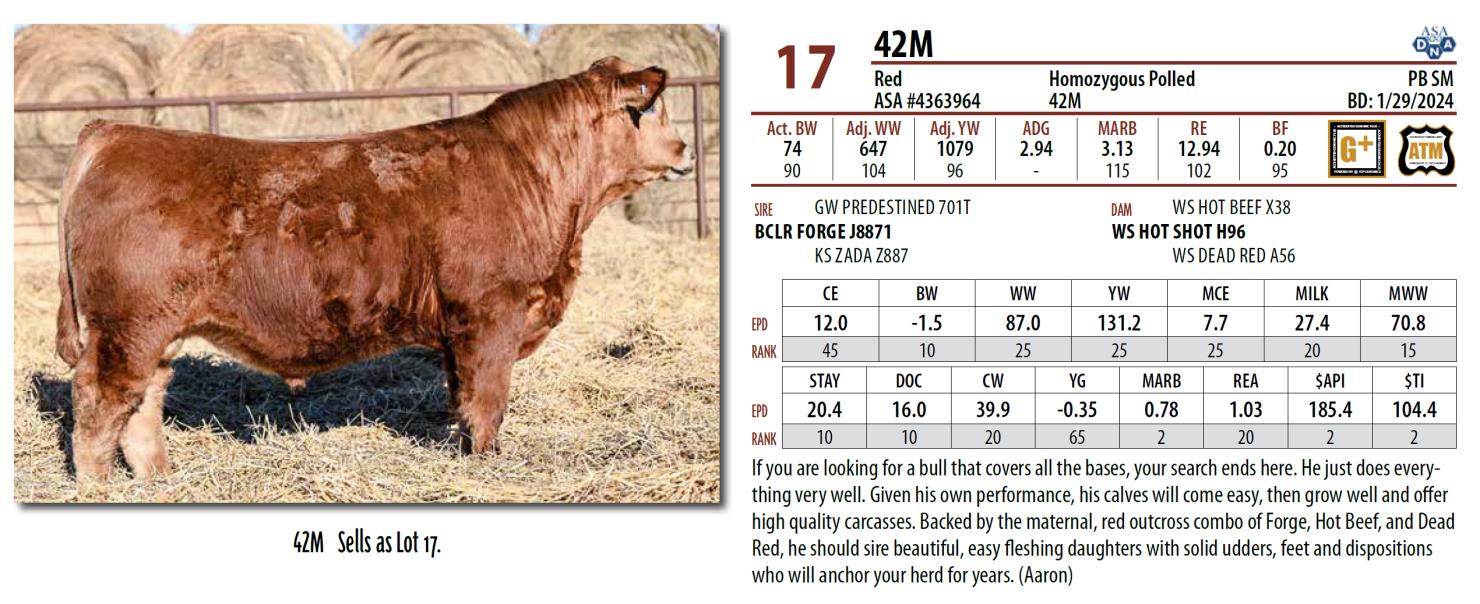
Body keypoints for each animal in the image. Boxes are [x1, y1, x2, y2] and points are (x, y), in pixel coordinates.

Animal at [54, 57, 694, 482]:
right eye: (656, 109)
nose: (687, 149)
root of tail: (113, 131)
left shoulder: (460, 329)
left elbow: (463, 399)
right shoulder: (493, 313)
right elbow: (488, 400)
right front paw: (488, 463)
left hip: (156, 331)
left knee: (143, 401)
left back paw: (158, 477)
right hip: (126, 327)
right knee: (98, 400)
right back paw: (98, 487)